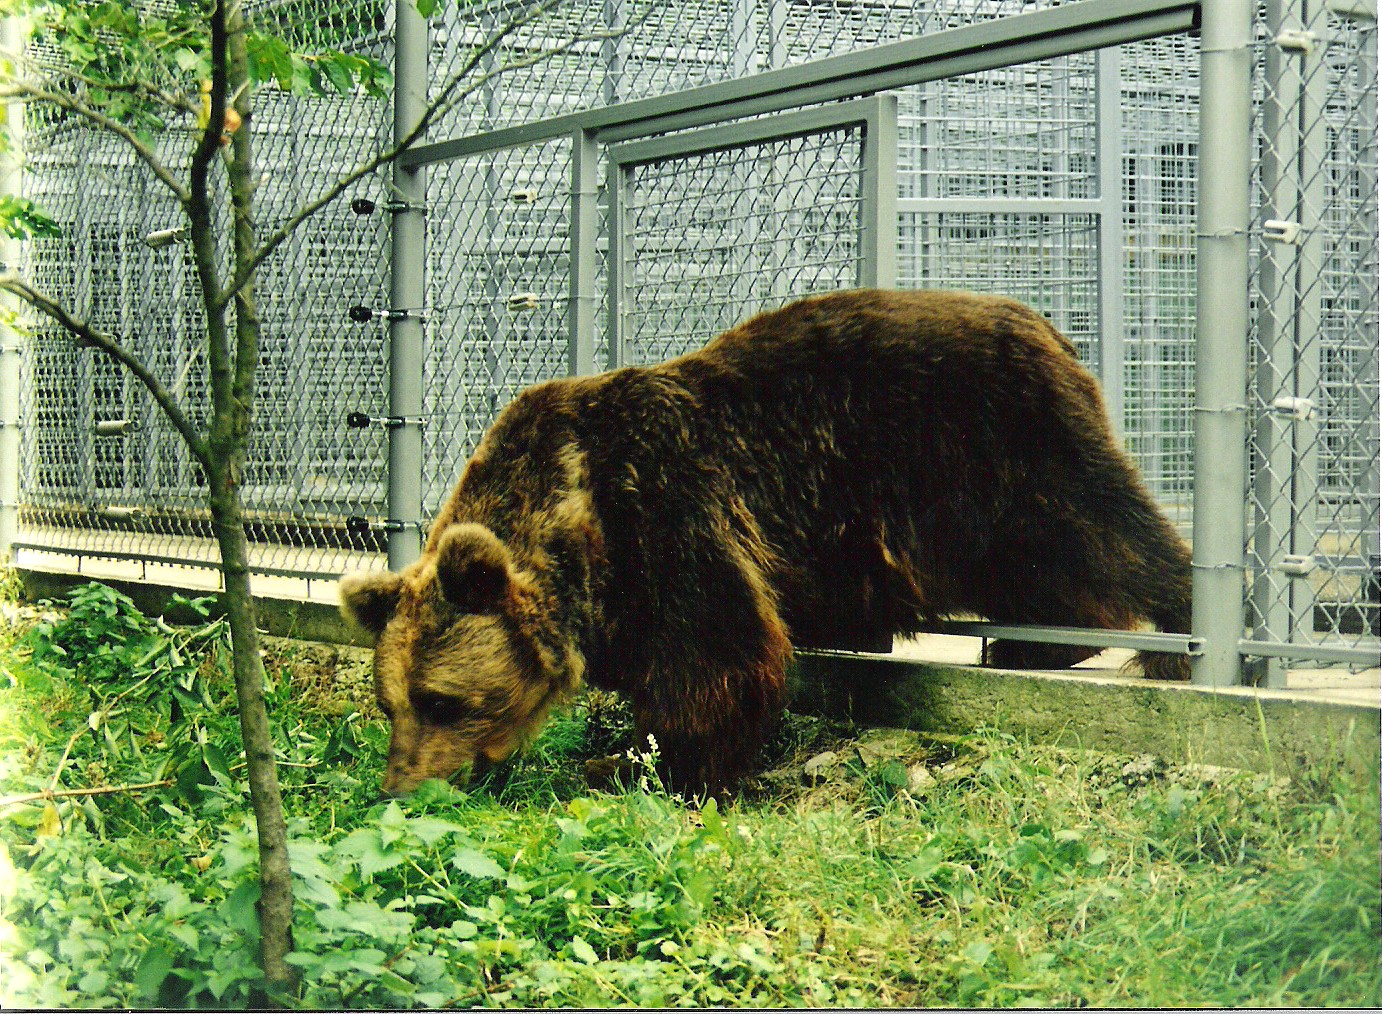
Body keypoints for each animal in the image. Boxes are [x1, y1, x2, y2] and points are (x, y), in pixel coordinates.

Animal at [339, 289, 1193, 796]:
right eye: (389, 703)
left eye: (440, 699)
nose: (400, 787)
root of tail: (1045, 323)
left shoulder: (668, 508)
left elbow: (713, 656)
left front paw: (657, 765)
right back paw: (1030, 643)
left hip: (999, 446)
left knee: (1111, 530)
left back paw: (1172, 642)